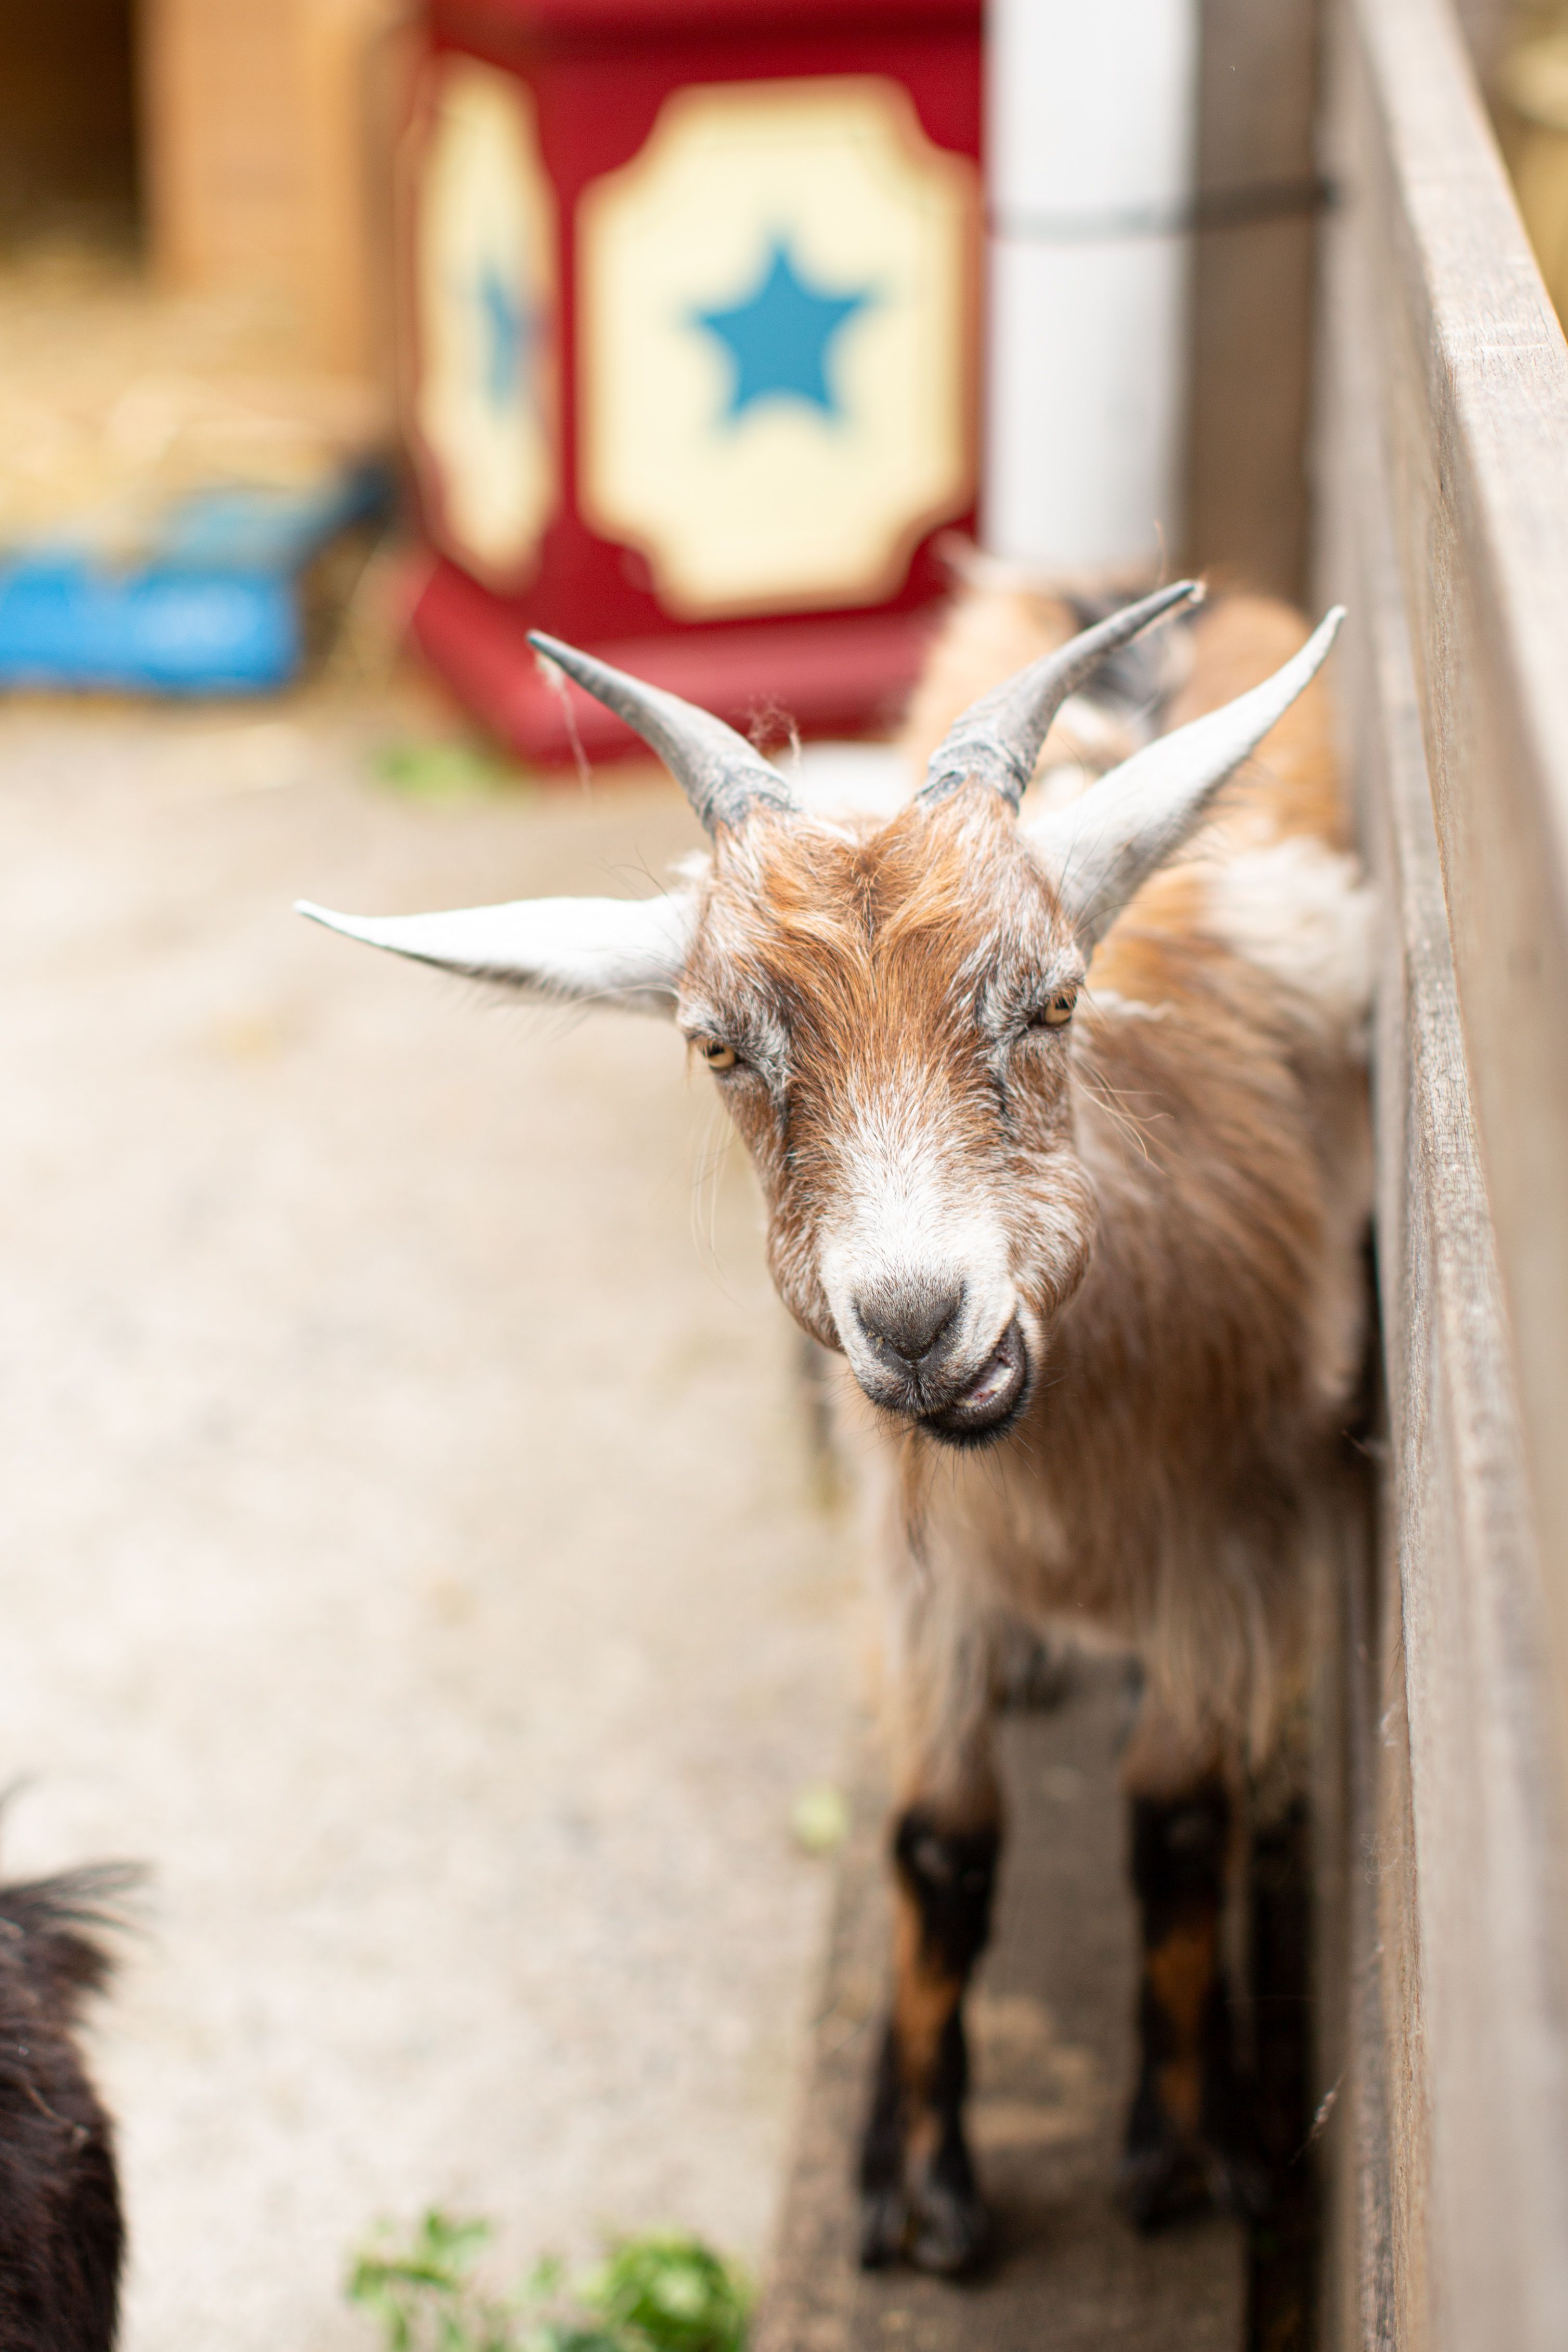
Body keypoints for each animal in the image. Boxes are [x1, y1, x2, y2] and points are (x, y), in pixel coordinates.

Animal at [299, 576, 1370, 2274]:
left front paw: (1183, 2148)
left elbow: (1178, 1821)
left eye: (1054, 996)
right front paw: (918, 2177)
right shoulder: (914, 1570)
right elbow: (938, 1839)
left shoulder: (1229, 1539)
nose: (918, 1319)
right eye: (717, 1043)